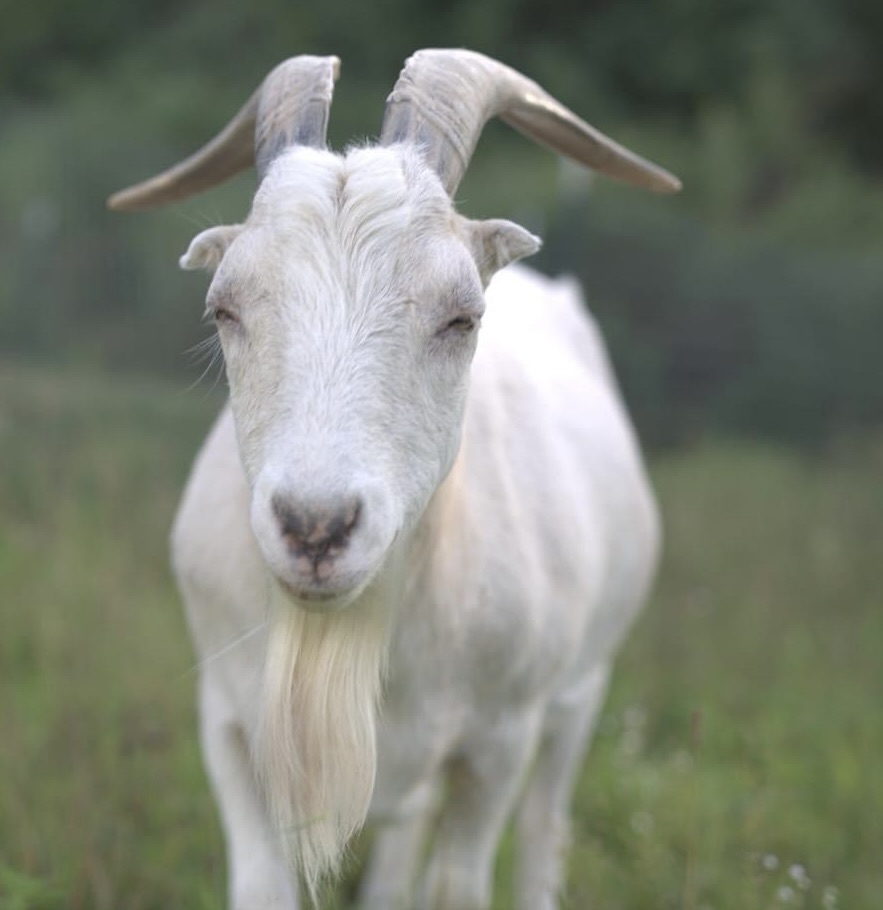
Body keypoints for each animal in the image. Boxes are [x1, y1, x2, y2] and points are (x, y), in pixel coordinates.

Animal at [109, 50, 679, 910]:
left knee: (543, 825)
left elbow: (463, 881)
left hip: (580, 692)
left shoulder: (499, 741)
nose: (315, 525)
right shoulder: (230, 727)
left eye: (462, 316)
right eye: (223, 309)